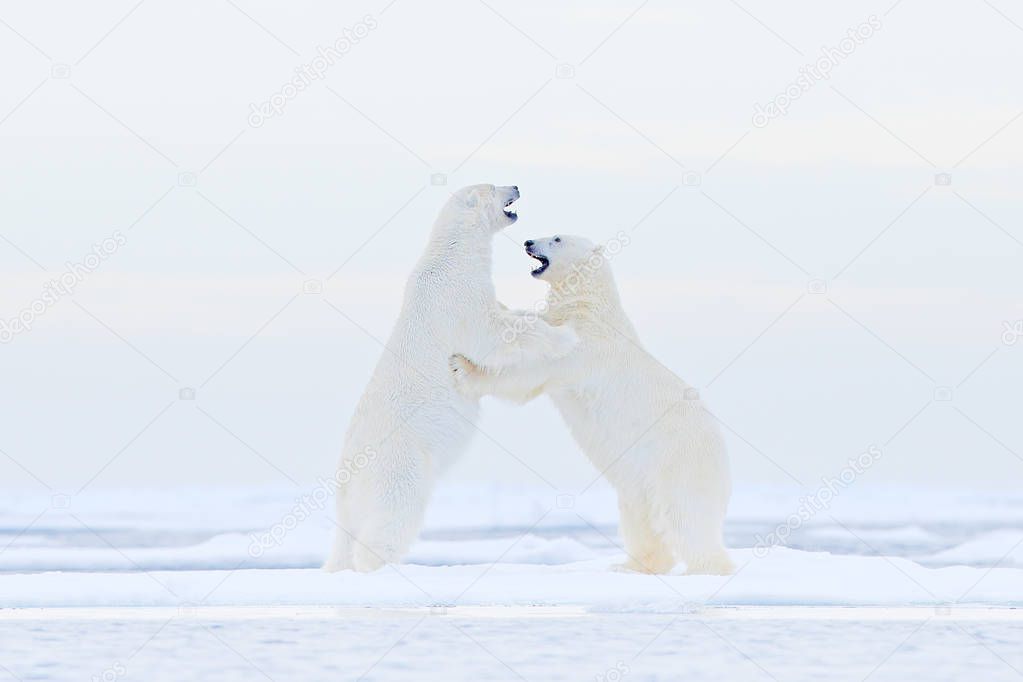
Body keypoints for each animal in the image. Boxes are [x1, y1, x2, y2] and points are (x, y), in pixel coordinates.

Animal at [324, 185, 579, 573]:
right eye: (494, 185)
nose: (516, 186)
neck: (453, 254)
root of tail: (345, 482)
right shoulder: (457, 295)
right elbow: (492, 334)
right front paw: (564, 336)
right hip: (400, 465)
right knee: (392, 519)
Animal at [450, 233, 735, 575]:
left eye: (557, 238)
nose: (529, 241)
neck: (591, 308)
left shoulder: (584, 347)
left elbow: (529, 373)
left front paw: (463, 369)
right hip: (640, 483)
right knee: (642, 521)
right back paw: (629, 566)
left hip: (679, 461)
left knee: (686, 519)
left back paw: (705, 569)